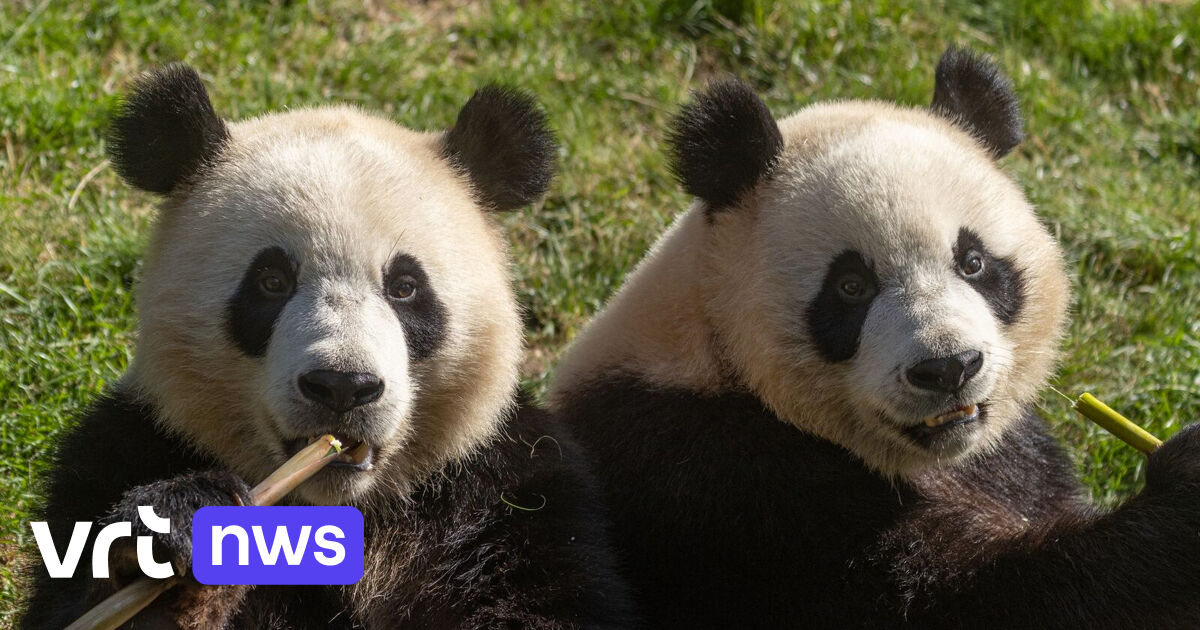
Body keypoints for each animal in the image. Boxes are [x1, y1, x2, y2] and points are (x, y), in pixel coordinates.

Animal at [22, 65, 632, 629]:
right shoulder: (125, 450)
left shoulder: (508, 496)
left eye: (405, 287)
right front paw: (180, 541)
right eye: (271, 281)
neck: (340, 512)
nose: (343, 386)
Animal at [549, 46, 1200, 628]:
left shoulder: (1015, 457)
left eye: (973, 263)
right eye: (851, 286)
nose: (948, 368)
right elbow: (942, 596)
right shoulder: (717, 481)